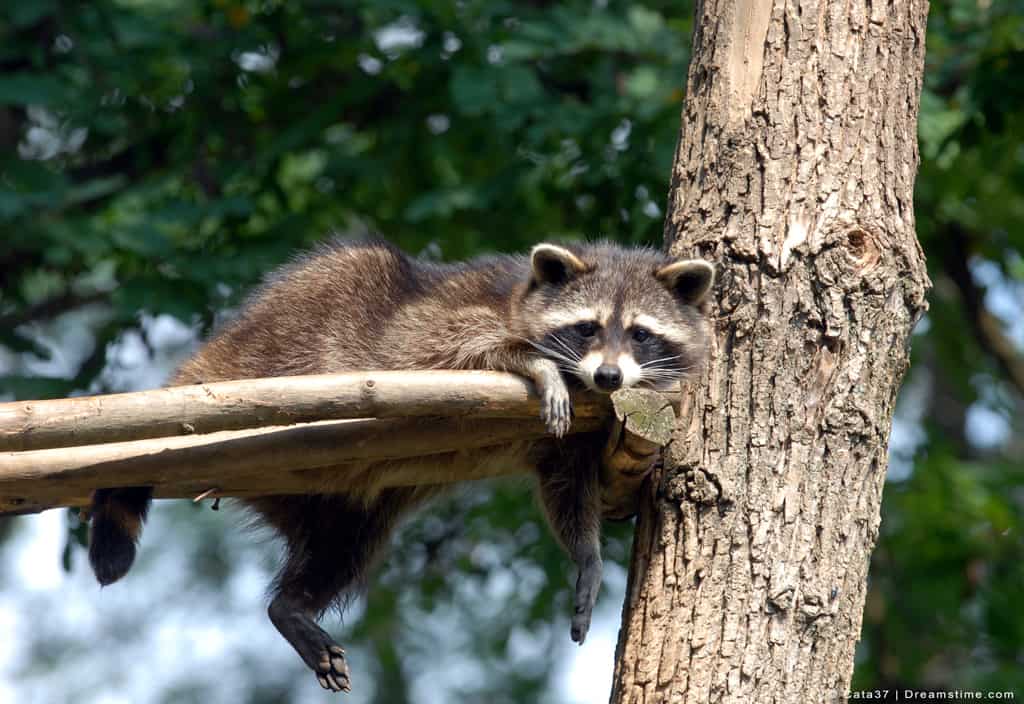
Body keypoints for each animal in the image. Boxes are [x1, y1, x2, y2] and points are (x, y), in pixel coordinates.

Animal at [88, 238, 714, 693]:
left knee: (341, 551)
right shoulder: (453, 316)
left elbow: (568, 493)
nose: (608, 376)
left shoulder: (576, 440)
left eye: (640, 334)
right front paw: (533, 363)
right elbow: (462, 346)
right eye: (587, 328)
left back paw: (290, 605)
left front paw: (586, 556)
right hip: (285, 331)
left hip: (336, 503)